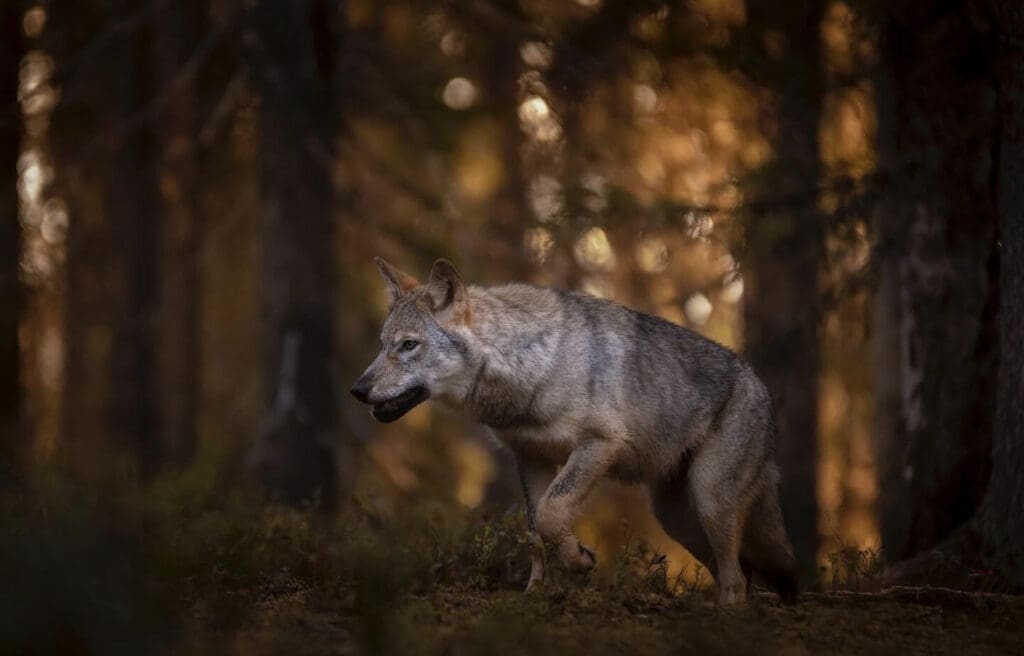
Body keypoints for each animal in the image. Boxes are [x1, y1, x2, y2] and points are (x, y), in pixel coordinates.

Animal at [350, 257, 799, 604]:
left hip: (709, 502)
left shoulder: (599, 444)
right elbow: (535, 532)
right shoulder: (529, 459)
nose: (357, 390)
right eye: (381, 344)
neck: (531, 368)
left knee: (737, 576)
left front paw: (580, 560)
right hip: (676, 518)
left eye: (409, 345)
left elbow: (552, 515)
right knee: (742, 571)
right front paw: (536, 593)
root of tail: (760, 387)